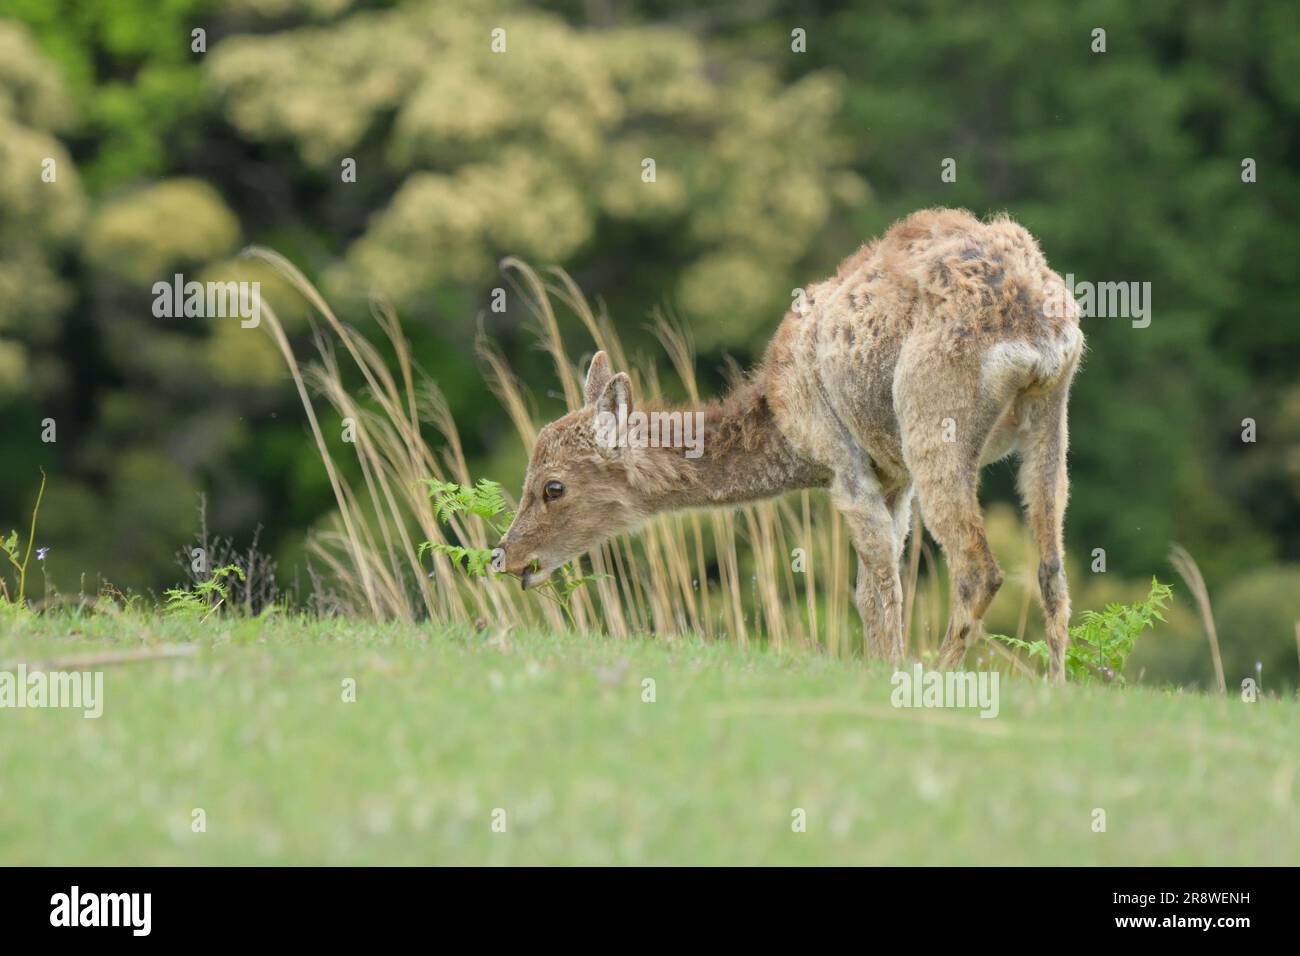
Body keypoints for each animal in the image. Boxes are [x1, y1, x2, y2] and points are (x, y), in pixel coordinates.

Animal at [498, 208, 1084, 681]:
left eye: (553, 486)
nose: (504, 555)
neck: (785, 427)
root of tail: (1035, 328)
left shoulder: (844, 463)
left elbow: (877, 585)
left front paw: (887, 667)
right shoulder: (893, 477)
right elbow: (876, 582)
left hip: (933, 419)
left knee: (978, 569)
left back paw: (938, 674)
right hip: (1053, 415)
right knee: (1051, 567)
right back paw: (1055, 687)